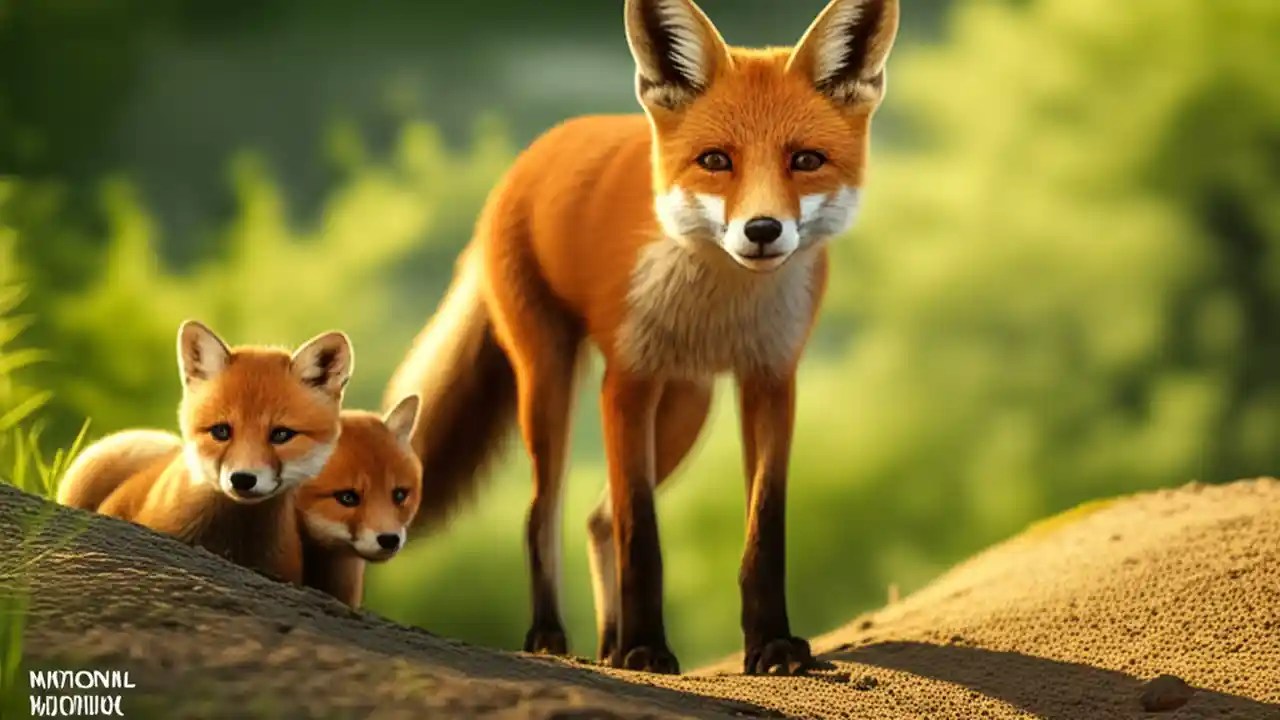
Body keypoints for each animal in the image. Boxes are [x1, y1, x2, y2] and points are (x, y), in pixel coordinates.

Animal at [387, 0, 899, 675]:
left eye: (806, 160)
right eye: (716, 161)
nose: (763, 230)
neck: (722, 305)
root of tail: (537, 148)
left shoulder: (771, 381)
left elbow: (763, 532)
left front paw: (770, 644)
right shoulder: (626, 385)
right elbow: (643, 535)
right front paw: (647, 649)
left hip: (686, 407)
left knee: (596, 518)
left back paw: (607, 644)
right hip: (550, 380)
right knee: (542, 514)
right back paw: (552, 636)